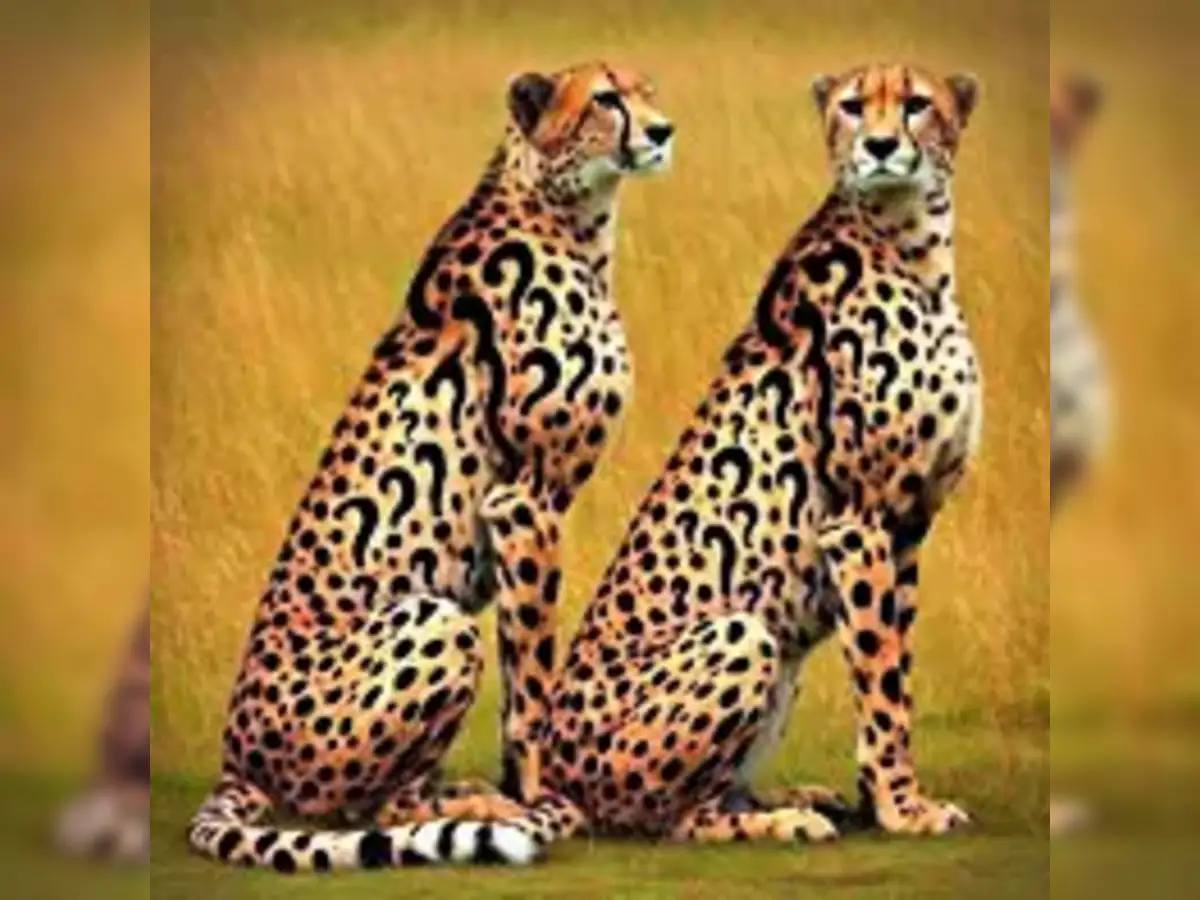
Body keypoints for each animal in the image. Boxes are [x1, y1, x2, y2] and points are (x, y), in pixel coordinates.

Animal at [186, 60, 675, 872]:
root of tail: (235, 755)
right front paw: (542, 798)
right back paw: (470, 808)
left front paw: (528, 791)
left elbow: (521, 675)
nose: (664, 130)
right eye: (605, 99)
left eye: (647, 91)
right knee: (372, 807)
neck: (568, 212)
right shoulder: (526, 498)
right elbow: (532, 681)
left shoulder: (521, 511)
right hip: (432, 620)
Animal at [514, 62, 985, 846]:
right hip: (742, 637)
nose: (880, 146)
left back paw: (793, 796)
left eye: (918, 104)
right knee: (674, 820)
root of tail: (552, 771)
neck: (916, 249)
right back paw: (782, 819)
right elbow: (882, 679)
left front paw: (881, 800)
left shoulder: (910, 523)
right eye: (853, 106)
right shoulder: (858, 520)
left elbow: (895, 669)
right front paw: (904, 807)